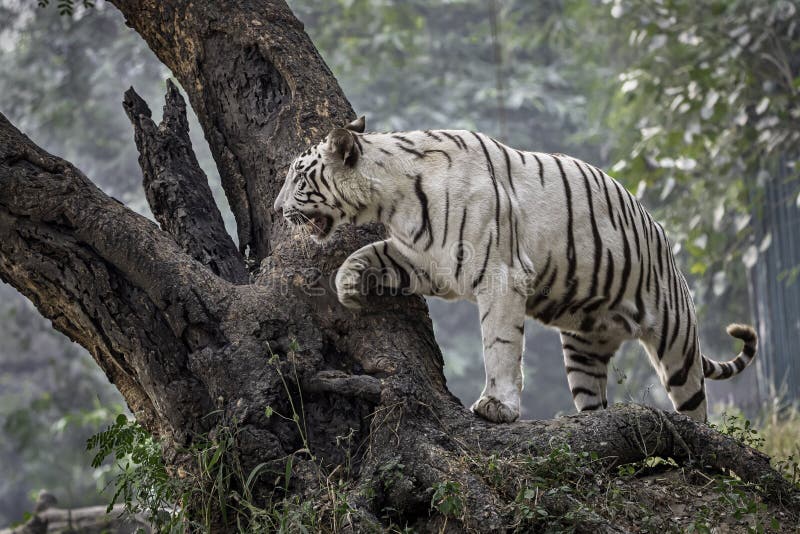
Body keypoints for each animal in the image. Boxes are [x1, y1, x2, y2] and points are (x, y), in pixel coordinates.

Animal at [273, 116, 757, 424]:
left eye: (298, 177)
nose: (276, 209)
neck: (393, 200)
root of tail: (660, 232)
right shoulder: (428, 260)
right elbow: (370, 252)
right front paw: (349, 285)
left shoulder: (499, 276)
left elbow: (500, 344)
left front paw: (497, 406)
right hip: (583, 347)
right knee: (593, 398)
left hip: (675, 337)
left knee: (695, 403)